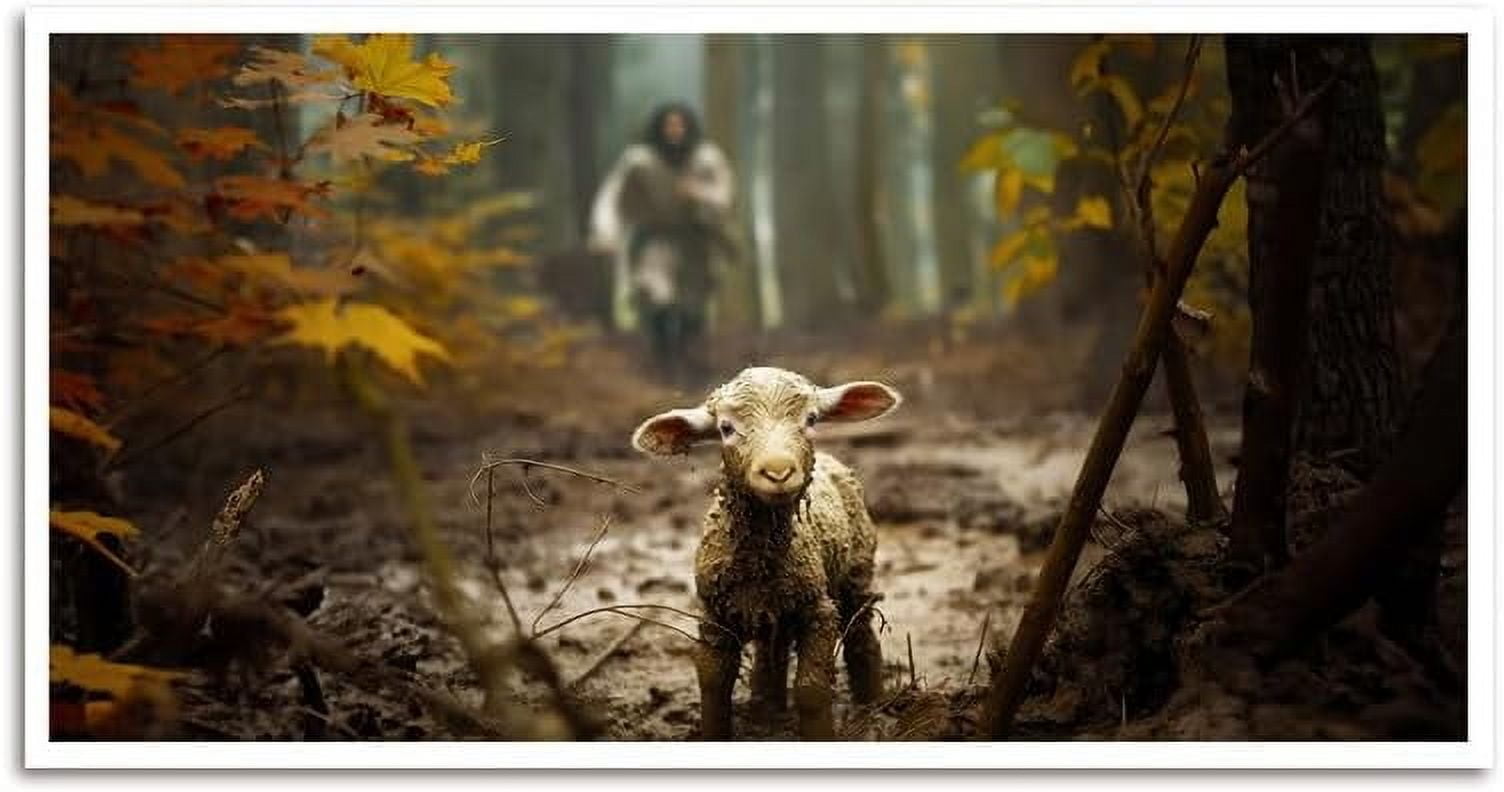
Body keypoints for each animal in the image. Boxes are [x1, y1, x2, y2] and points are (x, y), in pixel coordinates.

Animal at [631, 366, 901, 740]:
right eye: (725, 428)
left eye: (811, 419)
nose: (777, 472)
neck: (760, 561)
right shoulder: (713, 614)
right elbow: (713, 685)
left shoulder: (818, 610)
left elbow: (811, 688)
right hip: (774, 606)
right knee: (771, 650)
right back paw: (766, 707)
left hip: (856, 570)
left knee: (861, 633)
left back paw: (873, 705)